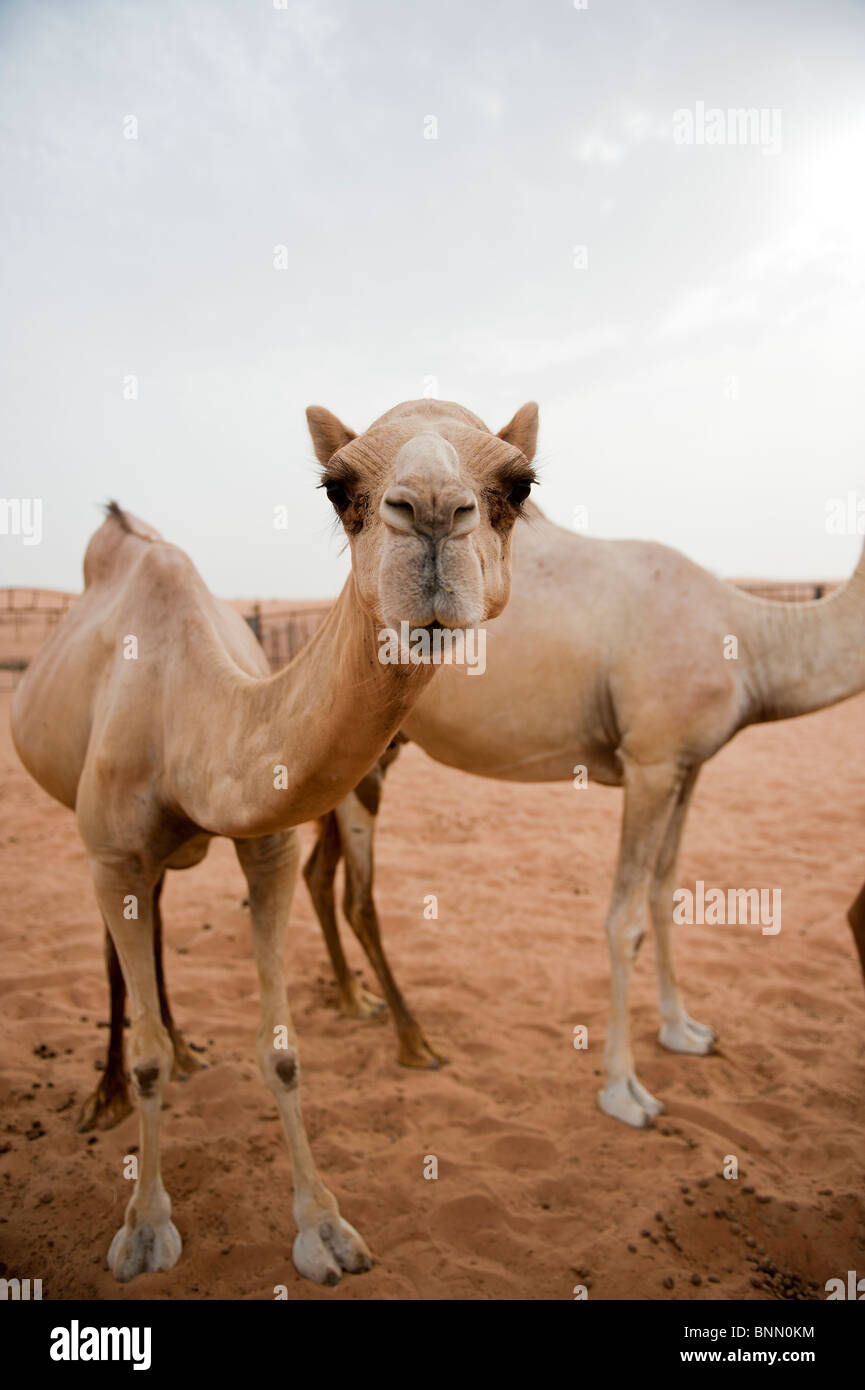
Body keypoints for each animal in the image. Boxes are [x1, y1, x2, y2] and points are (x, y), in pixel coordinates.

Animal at [10, 397, 538, 1284]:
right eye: (336, 485)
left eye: (520, 482)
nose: (432, 513)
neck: (184, 712)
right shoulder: (112, 850)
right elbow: (144, 1043)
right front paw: (144, 1227)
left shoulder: (269, 847)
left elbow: (284, 1051)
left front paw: (323, 1227)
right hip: (93, 840)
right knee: (118, 954)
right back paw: (108, 1091)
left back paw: (189, 1050)